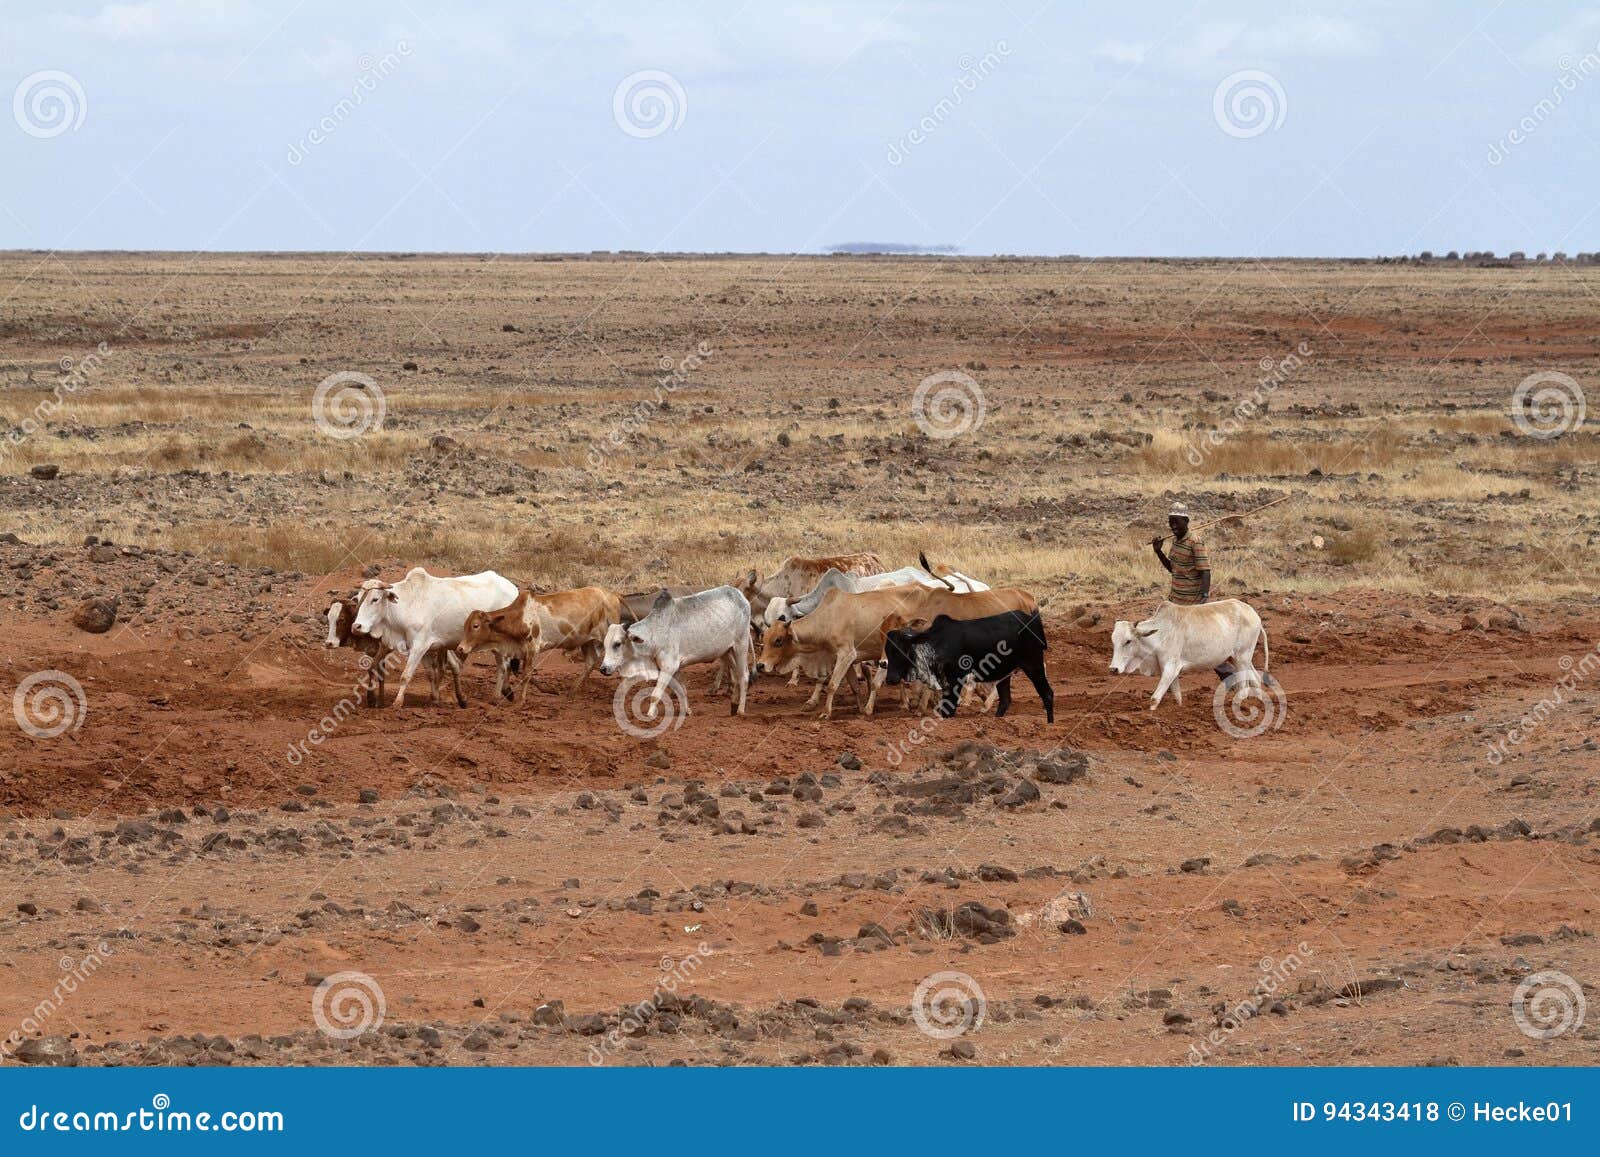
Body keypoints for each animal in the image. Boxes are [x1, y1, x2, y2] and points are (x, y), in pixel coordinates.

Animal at [350, 568, 518, 708]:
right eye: (358, 598)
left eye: (375, 599)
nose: (356, 626)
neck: (406, 605)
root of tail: (514, 590)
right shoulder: (424, 648)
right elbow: (431, 674)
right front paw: (435, 699)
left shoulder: (419, 647)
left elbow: (406, 676)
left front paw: (397, 703)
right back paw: (505, 692)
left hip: (499, 643)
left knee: (503, 666)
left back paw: (496, 697)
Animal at [599, 586, 752, 718]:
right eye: (604, 645)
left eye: (617, 644)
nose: (603, 668)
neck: (655, 633)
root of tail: (739, 595)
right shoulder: (674, 669)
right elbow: (682, 691)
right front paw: (687, 711)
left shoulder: (669, 667)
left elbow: (655, 695)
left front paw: (649, 716)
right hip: (726, 652)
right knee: (737, 675)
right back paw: (733, 705)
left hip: (741, 645)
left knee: (744, 675)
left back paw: (740, 710)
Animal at [754, 583, 1039, 719]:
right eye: (764, 638)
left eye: (778, 640)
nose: (760, 665)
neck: (829, 615)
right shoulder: (846, 658)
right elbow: (852, 685)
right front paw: (860, 708)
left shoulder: (846, 655)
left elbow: (833, 684)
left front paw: (826, 712)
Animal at [881, 610, 1054, 721]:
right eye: (888, 651)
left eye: (900, 650)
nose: (890, 679)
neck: (937, 643)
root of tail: (1031, 618)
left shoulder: (955, 680)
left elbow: (948, 710)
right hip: (1005, 673)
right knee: (1005, 700)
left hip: (1034, 665)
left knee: (1047, 693)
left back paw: (1049, 723)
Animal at [1108, 599, 1270, 710]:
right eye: (1113, 641)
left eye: (1128, 641)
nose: (1113, 669)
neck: (1160, 634)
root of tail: (1253, 614)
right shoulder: (1171, 671)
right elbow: (1177, 696)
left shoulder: (1170, 668)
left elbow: (1155, 699)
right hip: (1238, 659)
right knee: (1255, 679)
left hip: (1242, 658)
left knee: (1243, 686)